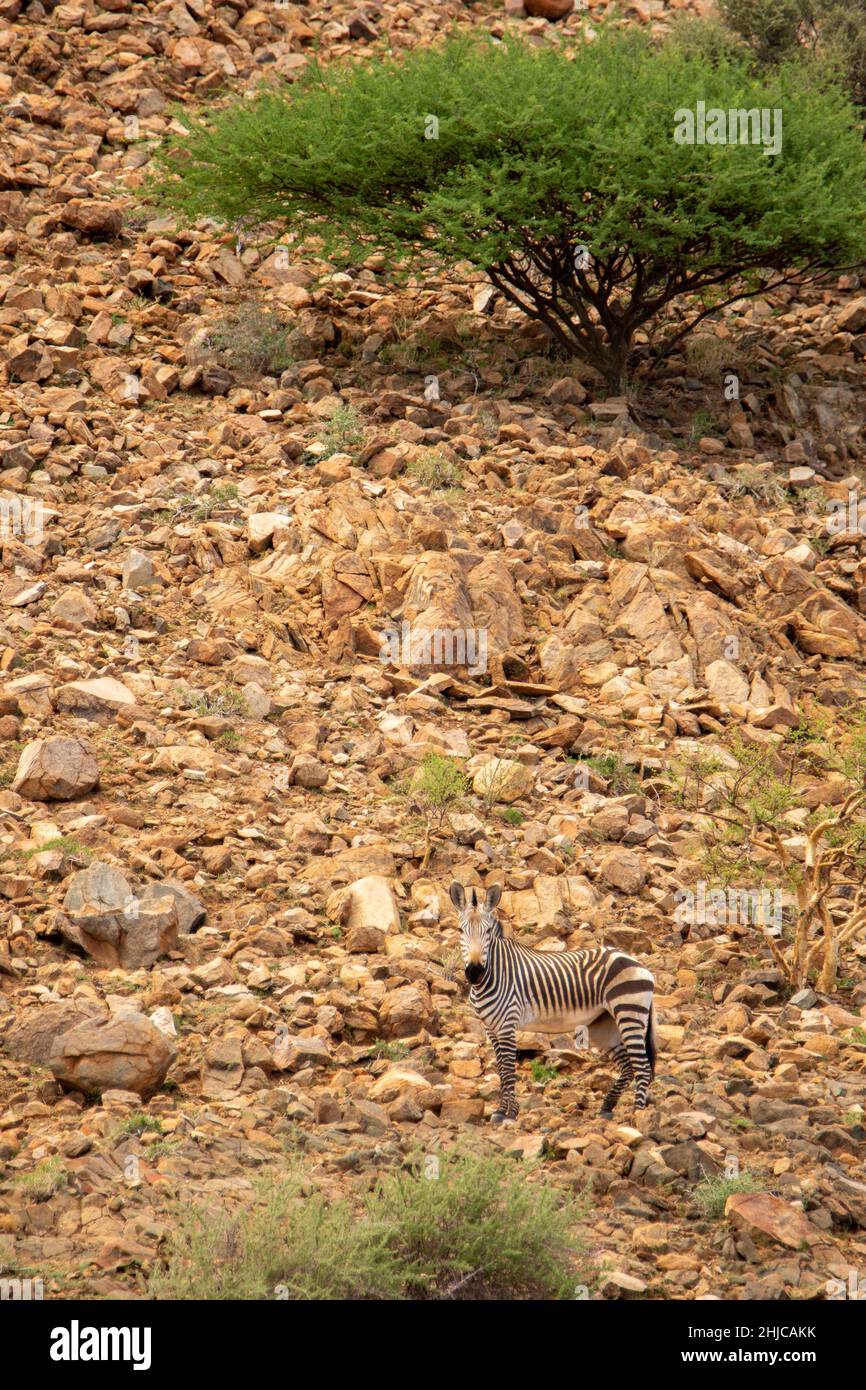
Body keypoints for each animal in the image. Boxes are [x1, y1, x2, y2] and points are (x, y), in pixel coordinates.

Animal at [449, 881, 657, 1122]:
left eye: (488, 932)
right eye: (460, 930)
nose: (474, 973)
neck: (494, 974)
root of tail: (638, 964)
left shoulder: (507, 1024)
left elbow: (508, 1070)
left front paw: (510, 1114)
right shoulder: (491, 1028)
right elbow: (501, 1069)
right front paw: (501, 1111)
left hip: (629, 1013)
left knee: (642, 1067)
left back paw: (638, 1115)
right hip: (606, 1024)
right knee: (628, 1067)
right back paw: (607, 1108)